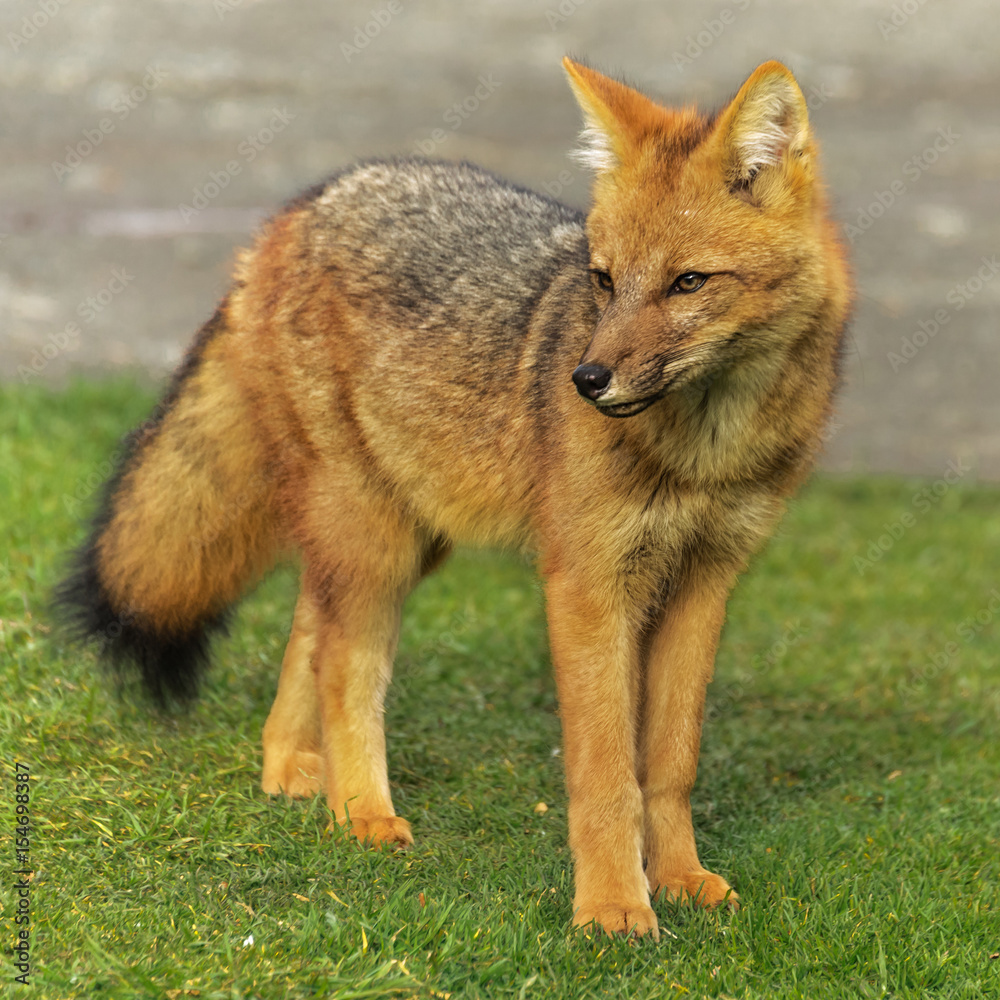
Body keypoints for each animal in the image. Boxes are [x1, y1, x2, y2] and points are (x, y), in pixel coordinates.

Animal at [56, 58, 850, 940]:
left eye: (687, 283)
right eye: (603, 281)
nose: (585, 380)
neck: (705, 454)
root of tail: (299, 209)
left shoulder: (706, 583)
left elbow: (669, 764)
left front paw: (676, 878)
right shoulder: (587, 586)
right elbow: (608, 775)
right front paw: (612, 907)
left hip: (405, 537)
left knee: (310, 630)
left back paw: (294, 771)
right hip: (376, 541)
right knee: (344, 664)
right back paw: (362, 812)